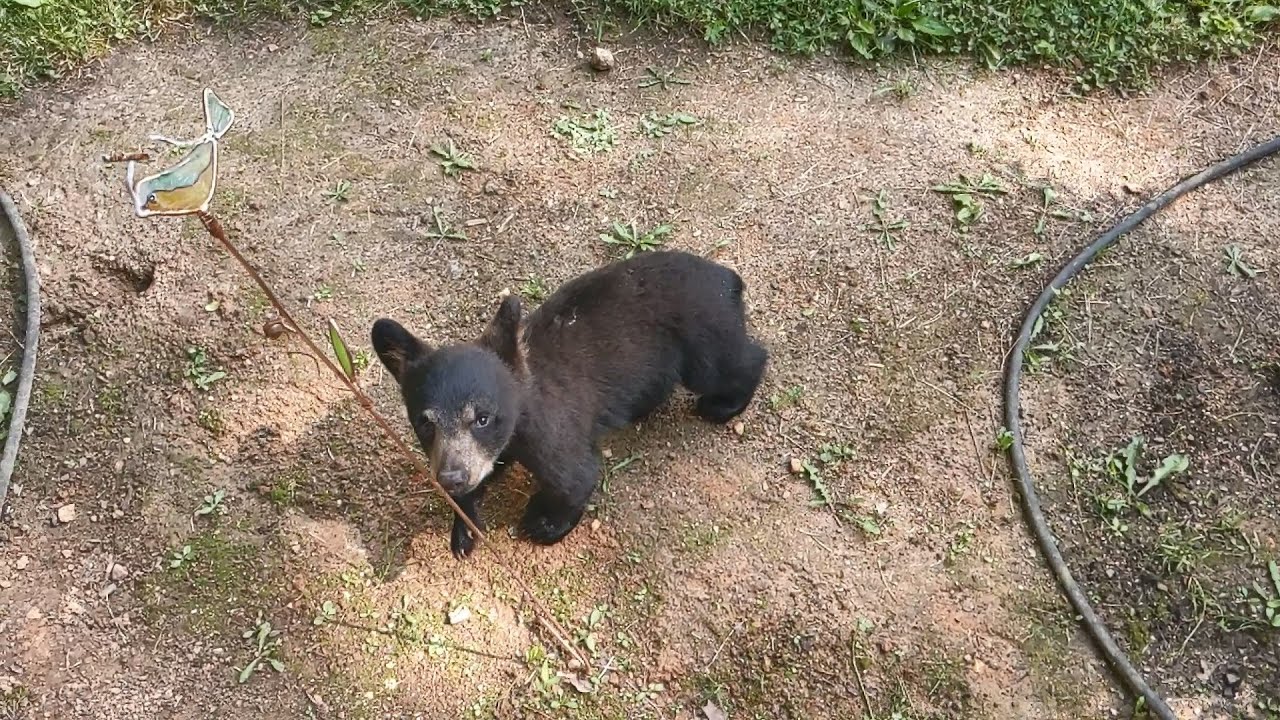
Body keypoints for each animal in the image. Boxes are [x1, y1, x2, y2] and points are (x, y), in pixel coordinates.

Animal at [371, 249, 768, 559]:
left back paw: (723, 405)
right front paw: (464, 528)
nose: (451, 478)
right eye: (425, 423)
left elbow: (576, 475)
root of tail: (727, 277)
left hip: (702, 335)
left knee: (735, 362)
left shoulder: (550, 429)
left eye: (482, 418)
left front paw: (544, 522)